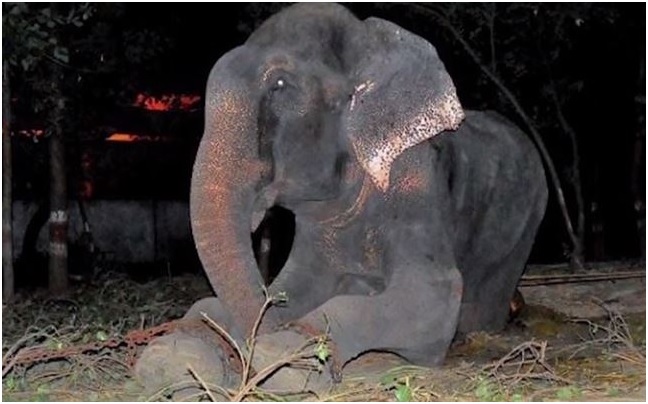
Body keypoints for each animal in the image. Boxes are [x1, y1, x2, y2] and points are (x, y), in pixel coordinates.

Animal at [190, 3, 548, 369]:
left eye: (279, 83)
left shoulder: (415, 180)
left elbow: (434, 295)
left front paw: (283, 352)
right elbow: (297, 283)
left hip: (527, 224)